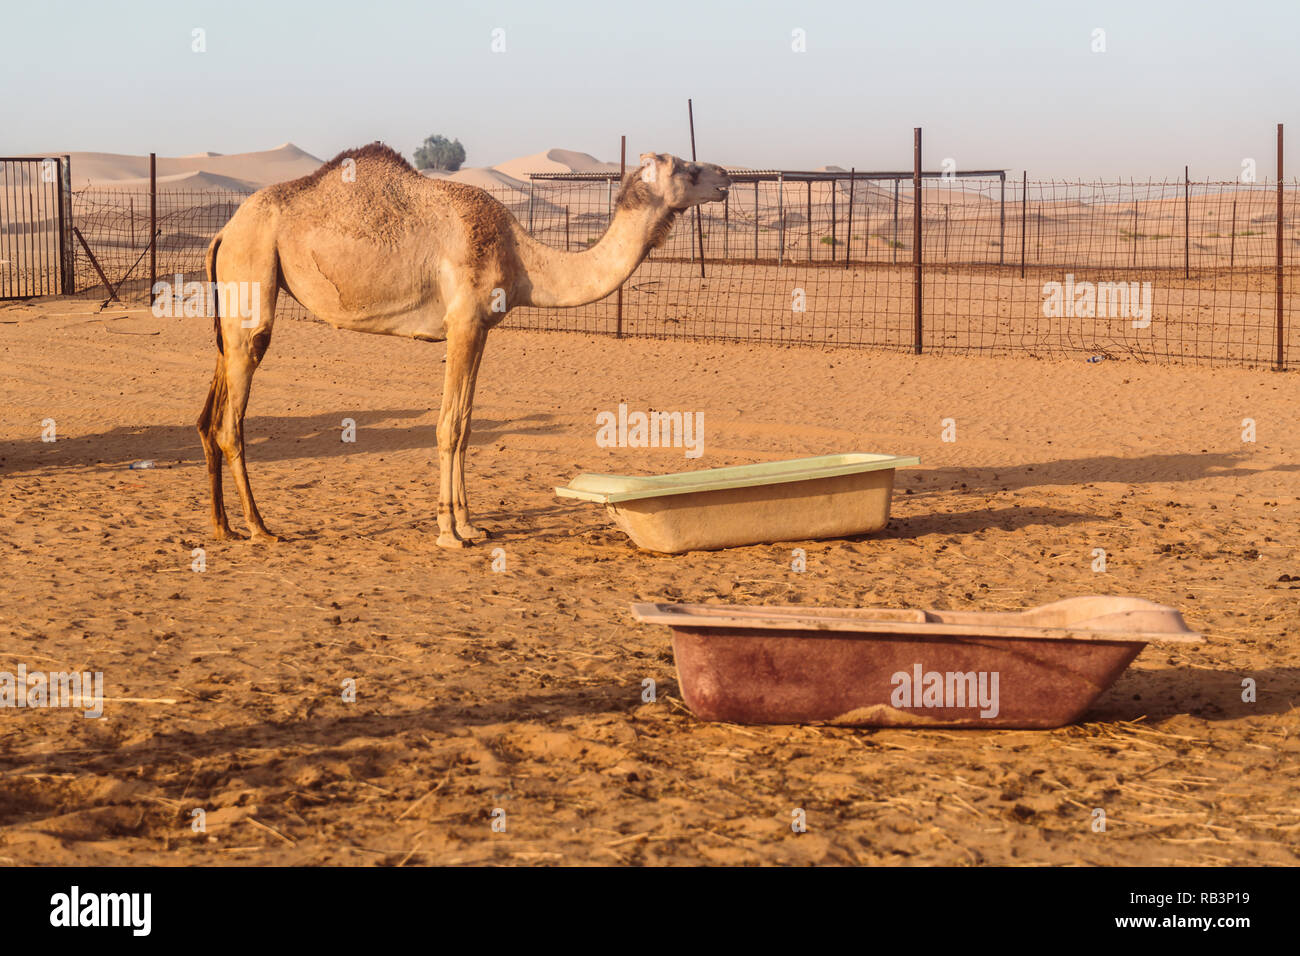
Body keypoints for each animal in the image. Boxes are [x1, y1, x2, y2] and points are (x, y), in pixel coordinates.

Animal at [198, 143, 731, 547]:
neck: (523, 259)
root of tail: (223, 232)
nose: (725, 175)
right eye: (687, 167)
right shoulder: (463, 324)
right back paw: (260, 528)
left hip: (232, 305)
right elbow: (448, 426)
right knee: (231, 418)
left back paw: (222, 527)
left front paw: (472, 525)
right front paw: (448, 532)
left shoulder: (482, 329)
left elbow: (468, 426)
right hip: (253, 270)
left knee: (211, 410)